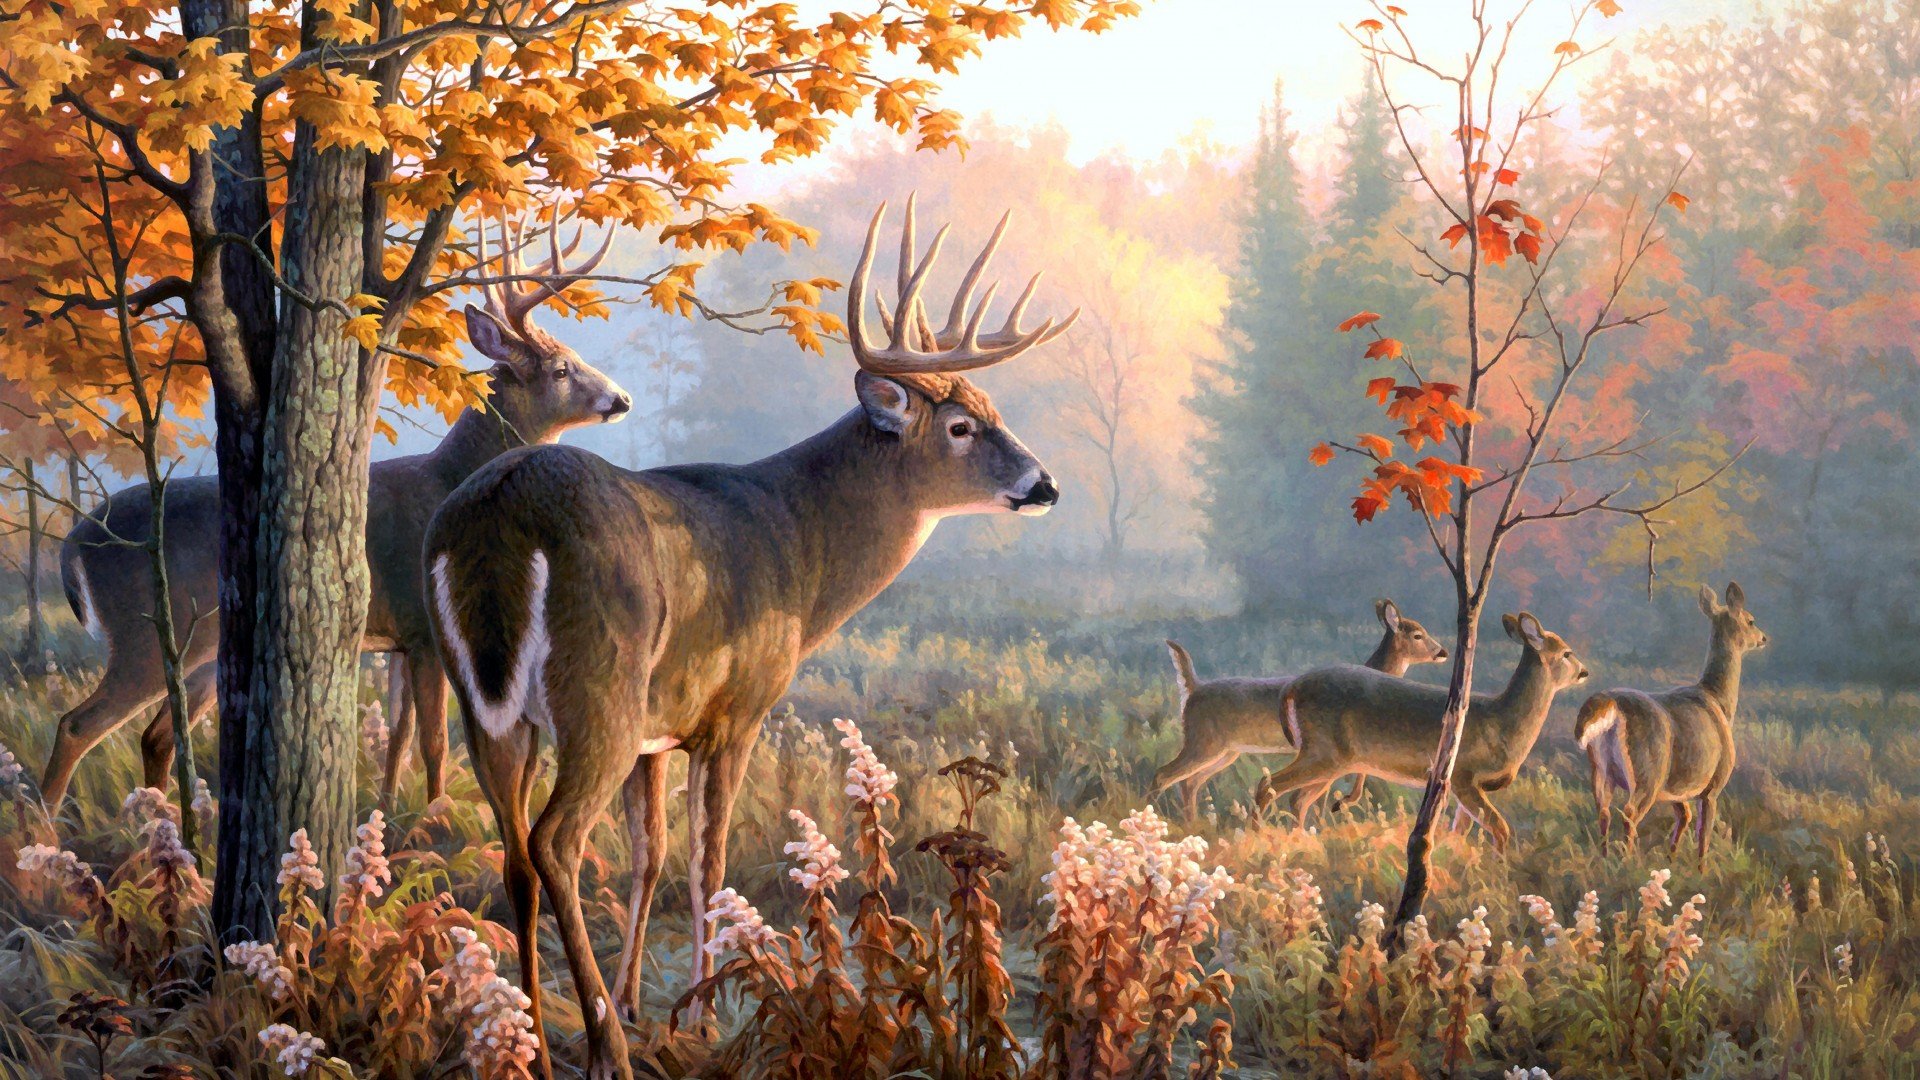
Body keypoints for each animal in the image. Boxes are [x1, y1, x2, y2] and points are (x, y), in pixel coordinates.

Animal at [42, 216, 631, 813]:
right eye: (561, 368)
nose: (622, 399)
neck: (451, 479)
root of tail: (73, 542)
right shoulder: (424, 628)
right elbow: (435, 740)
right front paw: (436, 812)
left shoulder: (398, 637)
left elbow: (397, 735)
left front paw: (390, 808)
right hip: (143, 631)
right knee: (76, 725)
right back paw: (47, 825)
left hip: (201, 651)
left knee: (155, 735)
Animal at [424, 196, 1072, 1079]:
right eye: (964, 427)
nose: (1046, 483)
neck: (797, 548)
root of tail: (499, 511)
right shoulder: (737, 709)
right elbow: (710, 862)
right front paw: (699, 1018)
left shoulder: (661, 730)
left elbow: (651, 852)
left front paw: (645, 1002)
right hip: (599, 687)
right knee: (554, 841)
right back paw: (604, 1047)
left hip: (488, 705)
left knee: (517, 854)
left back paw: (535, 1043)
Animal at [1150, 599, 1448, 818]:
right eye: (1418, 634)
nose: (1443, 652)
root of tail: (1193, 689)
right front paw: (1336, 809)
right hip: (1204, 742)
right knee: (1164, 775)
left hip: (1226, 752)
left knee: (1189, 782)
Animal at [1252, 612, 1590, 851]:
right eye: (1567, 653)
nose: (1585, 672)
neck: (1502, 723)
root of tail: (1290, 689)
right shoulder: (1462, 775)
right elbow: (1500, 829)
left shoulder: (1468, 788)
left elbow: (1460, 833)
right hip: (1323, 752)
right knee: (1268, 785)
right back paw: (1255, 838)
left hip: (1332, 760)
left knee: (1298, 799)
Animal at [1575, 581, 1767, 860]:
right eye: (1751, 620)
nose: (1764, 638)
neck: (1719, 700)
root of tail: (1609, 703)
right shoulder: (1713, 786)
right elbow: (1703, 835)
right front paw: (1699, 867)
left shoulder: (1678, 789)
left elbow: (1684, 818)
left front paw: (1672, 859)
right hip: (1648, 771)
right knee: (1629, 813)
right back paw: (1628, 861)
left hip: (1600, 769)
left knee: (1603, 811)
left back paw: (1605, 858)